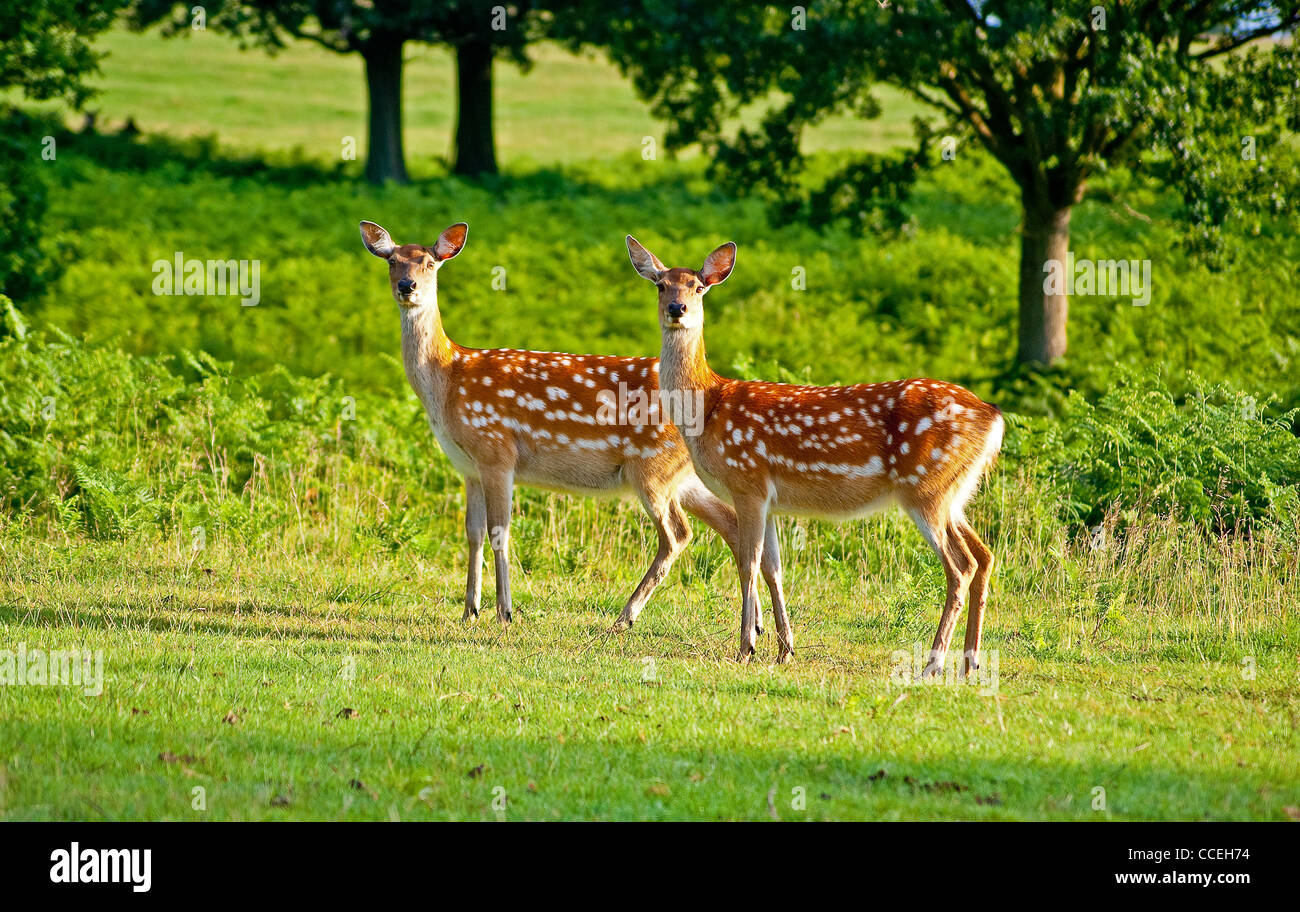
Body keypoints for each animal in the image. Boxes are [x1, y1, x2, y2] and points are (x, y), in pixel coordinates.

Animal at [360, 220, 786, 633]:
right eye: (392, 261)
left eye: (429, 263)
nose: (406, 286)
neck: (448, 380)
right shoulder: (468, 467)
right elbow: (473, 534)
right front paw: (469, 611)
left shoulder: (496, 450)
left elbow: (500, 532)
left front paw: (505, 613)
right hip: (685, 476)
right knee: (732, 526)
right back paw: (758, 625)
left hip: (652, 466)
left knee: (678, 534)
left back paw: (626, 617)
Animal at [627, 235, 1004, 674]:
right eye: (660, 285)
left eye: (698, 286)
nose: (677, 309)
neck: (707, 405)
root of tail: (994, 417)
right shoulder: (769, 497)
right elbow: (774, 568)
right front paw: (784, 649)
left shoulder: (747, 480)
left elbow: (748, 562)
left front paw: (745, 647)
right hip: (955, 491)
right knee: (984, 555)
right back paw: (970, 662)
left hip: (926, 488)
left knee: (961, 566)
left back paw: (933, 663)